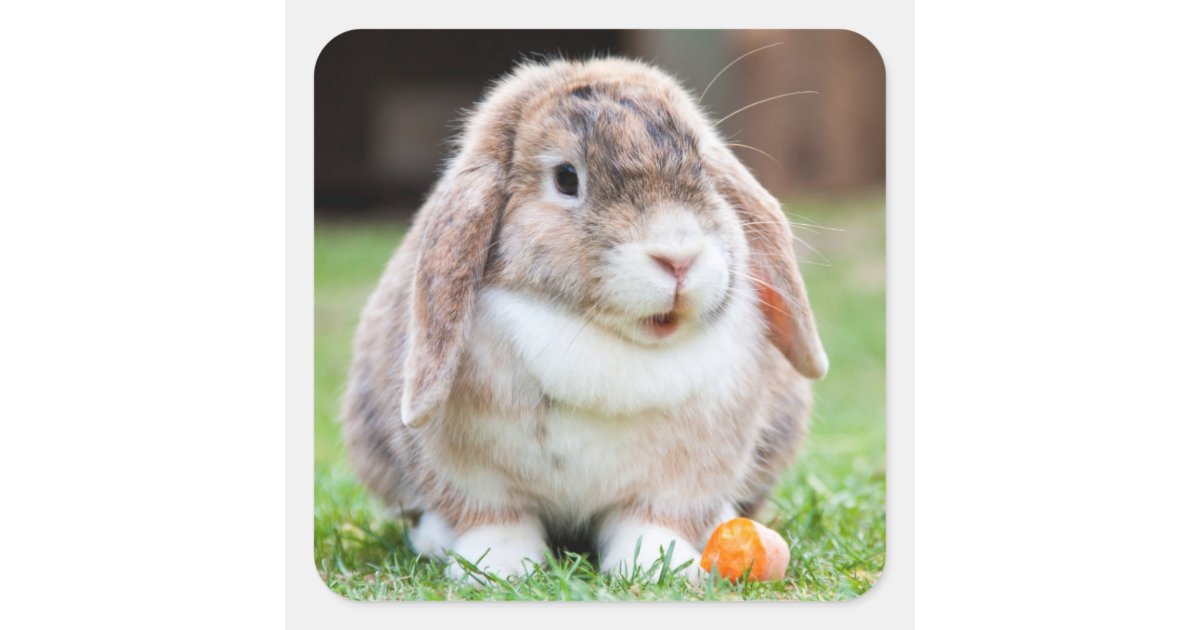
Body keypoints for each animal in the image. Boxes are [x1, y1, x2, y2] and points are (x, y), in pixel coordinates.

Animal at [340, 57, 827, 584]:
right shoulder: (472, 477)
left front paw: (659, 567)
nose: (678, 258)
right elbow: (496, 519)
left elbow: (650, 521)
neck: (603, 338)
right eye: (567, 178)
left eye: (701, 166)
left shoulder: (679, 480)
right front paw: (498, 568)